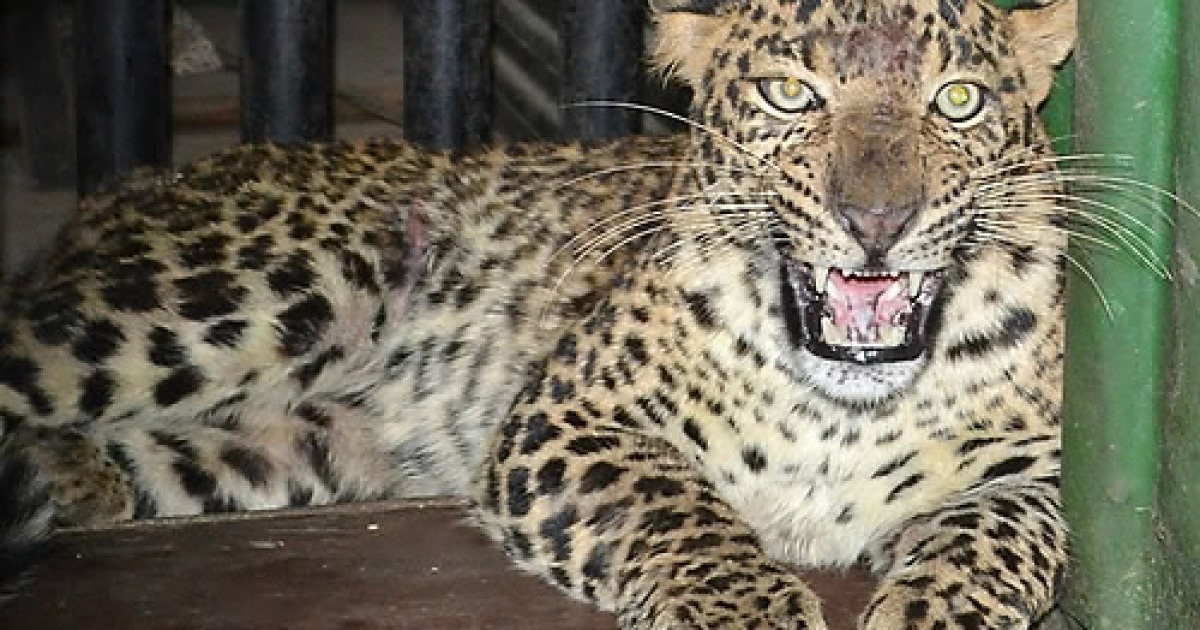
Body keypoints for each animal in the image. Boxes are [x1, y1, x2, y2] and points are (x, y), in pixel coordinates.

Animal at [0, 0, 1078, 627]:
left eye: (959, 101)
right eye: (789, 94)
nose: (878, 220)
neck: (842, 405)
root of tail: (130, 187)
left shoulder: (1042, 472)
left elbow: (1001, 538)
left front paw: (932, 612)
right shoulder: (568, 416)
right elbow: (679, 508)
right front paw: (747, 610)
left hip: (297, 445)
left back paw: (62, 484)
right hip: (263, 288)